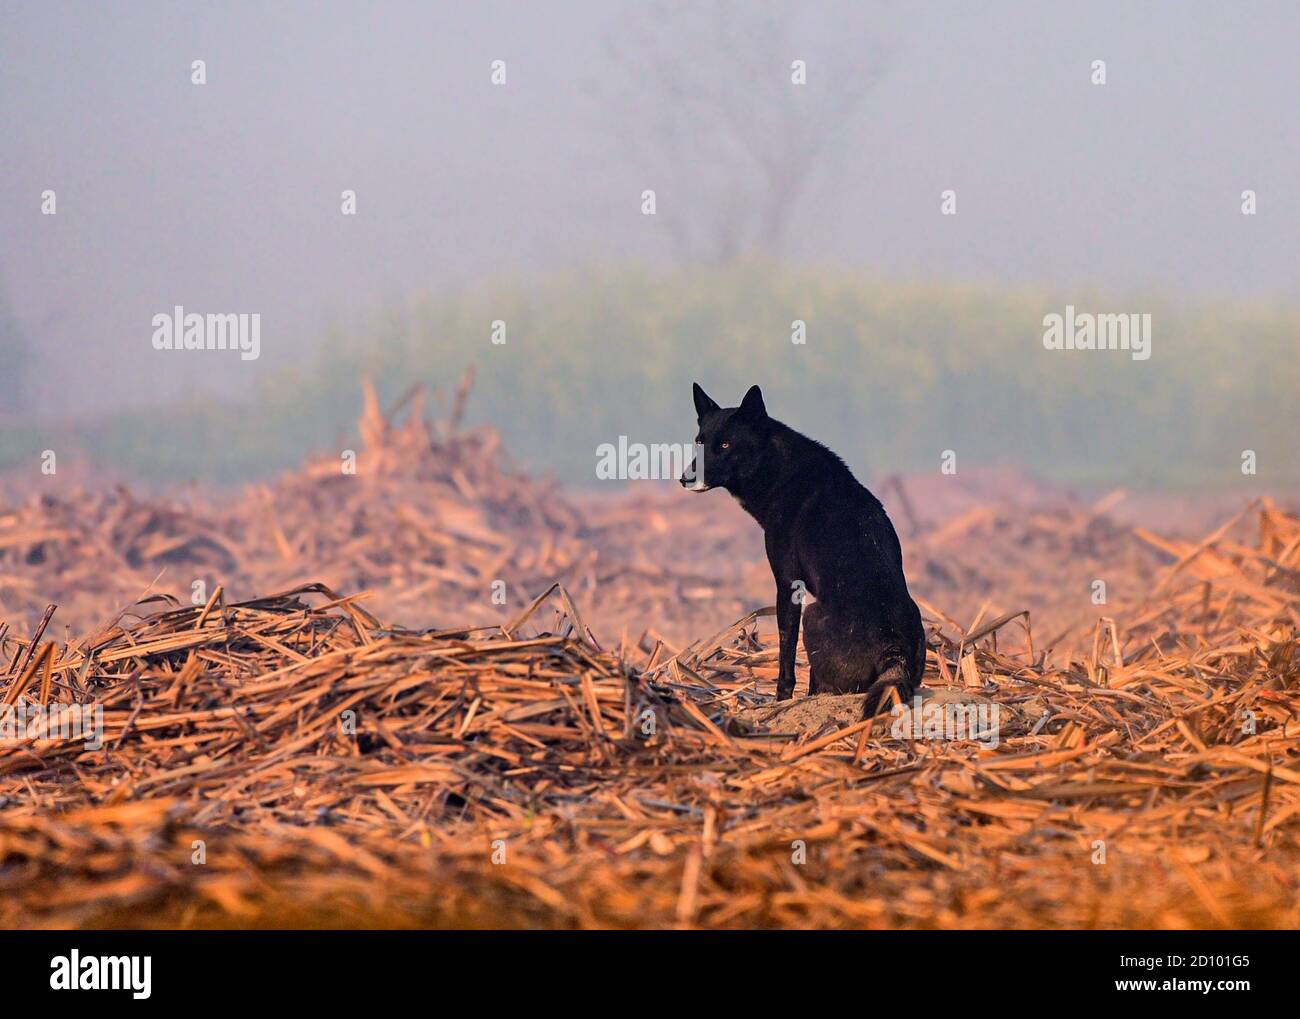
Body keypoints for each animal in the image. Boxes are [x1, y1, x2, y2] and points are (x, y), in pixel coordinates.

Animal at [680, 383, 925, 717]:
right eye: (699, 442)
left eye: (726, 444)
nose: (685, 479)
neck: (777, 470)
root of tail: (894, 650)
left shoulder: (788, 585)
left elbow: (787, 657)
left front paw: (780, 700)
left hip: (812, 615)